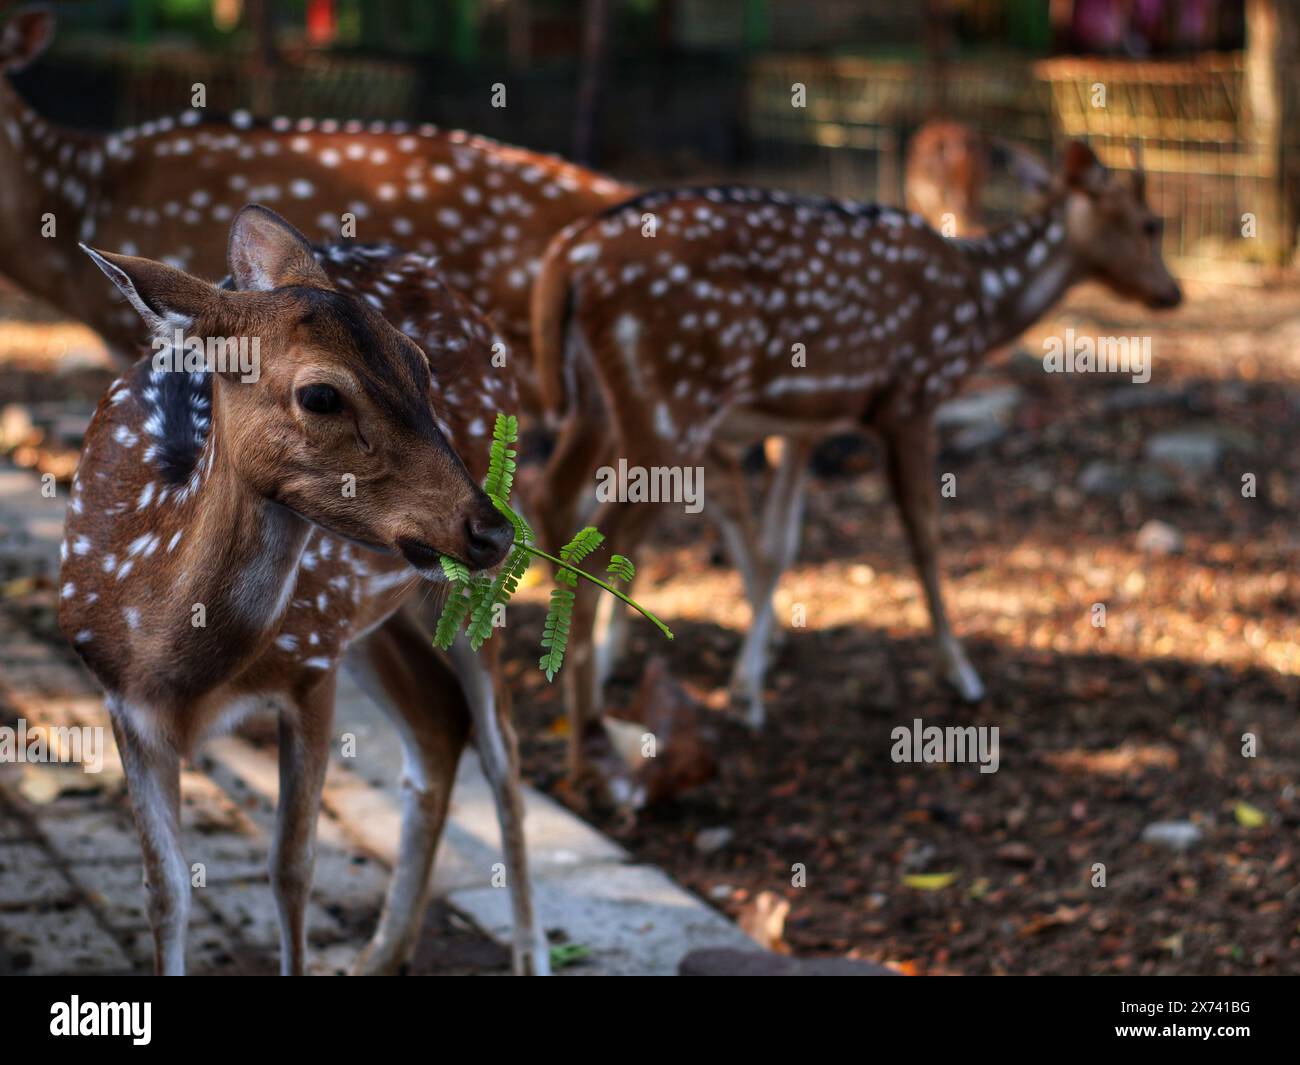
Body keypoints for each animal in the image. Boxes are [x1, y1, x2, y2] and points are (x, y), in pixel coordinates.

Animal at [59, 204, 553, 976]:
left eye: (419, 363)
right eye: (321, 394)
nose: (491, 530)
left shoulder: (312, 668)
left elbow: (292, 870)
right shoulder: (121, 699)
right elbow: (164, 891)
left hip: (432, 608)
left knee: (502, 751)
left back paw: (527, 952)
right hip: (371, 613)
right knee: (439, 719)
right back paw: (382, 951)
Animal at [530, 140, 1182, 779]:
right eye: (1151, 222)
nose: (1172, 292)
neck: (980, 301)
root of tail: (565, 259)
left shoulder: (807, 425)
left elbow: (777, 544)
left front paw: (751, 684)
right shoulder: (913, 396)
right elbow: (923, 534)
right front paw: (961, 672)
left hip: (598, 407)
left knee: (553, 502)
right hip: (672, 402)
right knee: (593, 548)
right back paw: (590, 746)